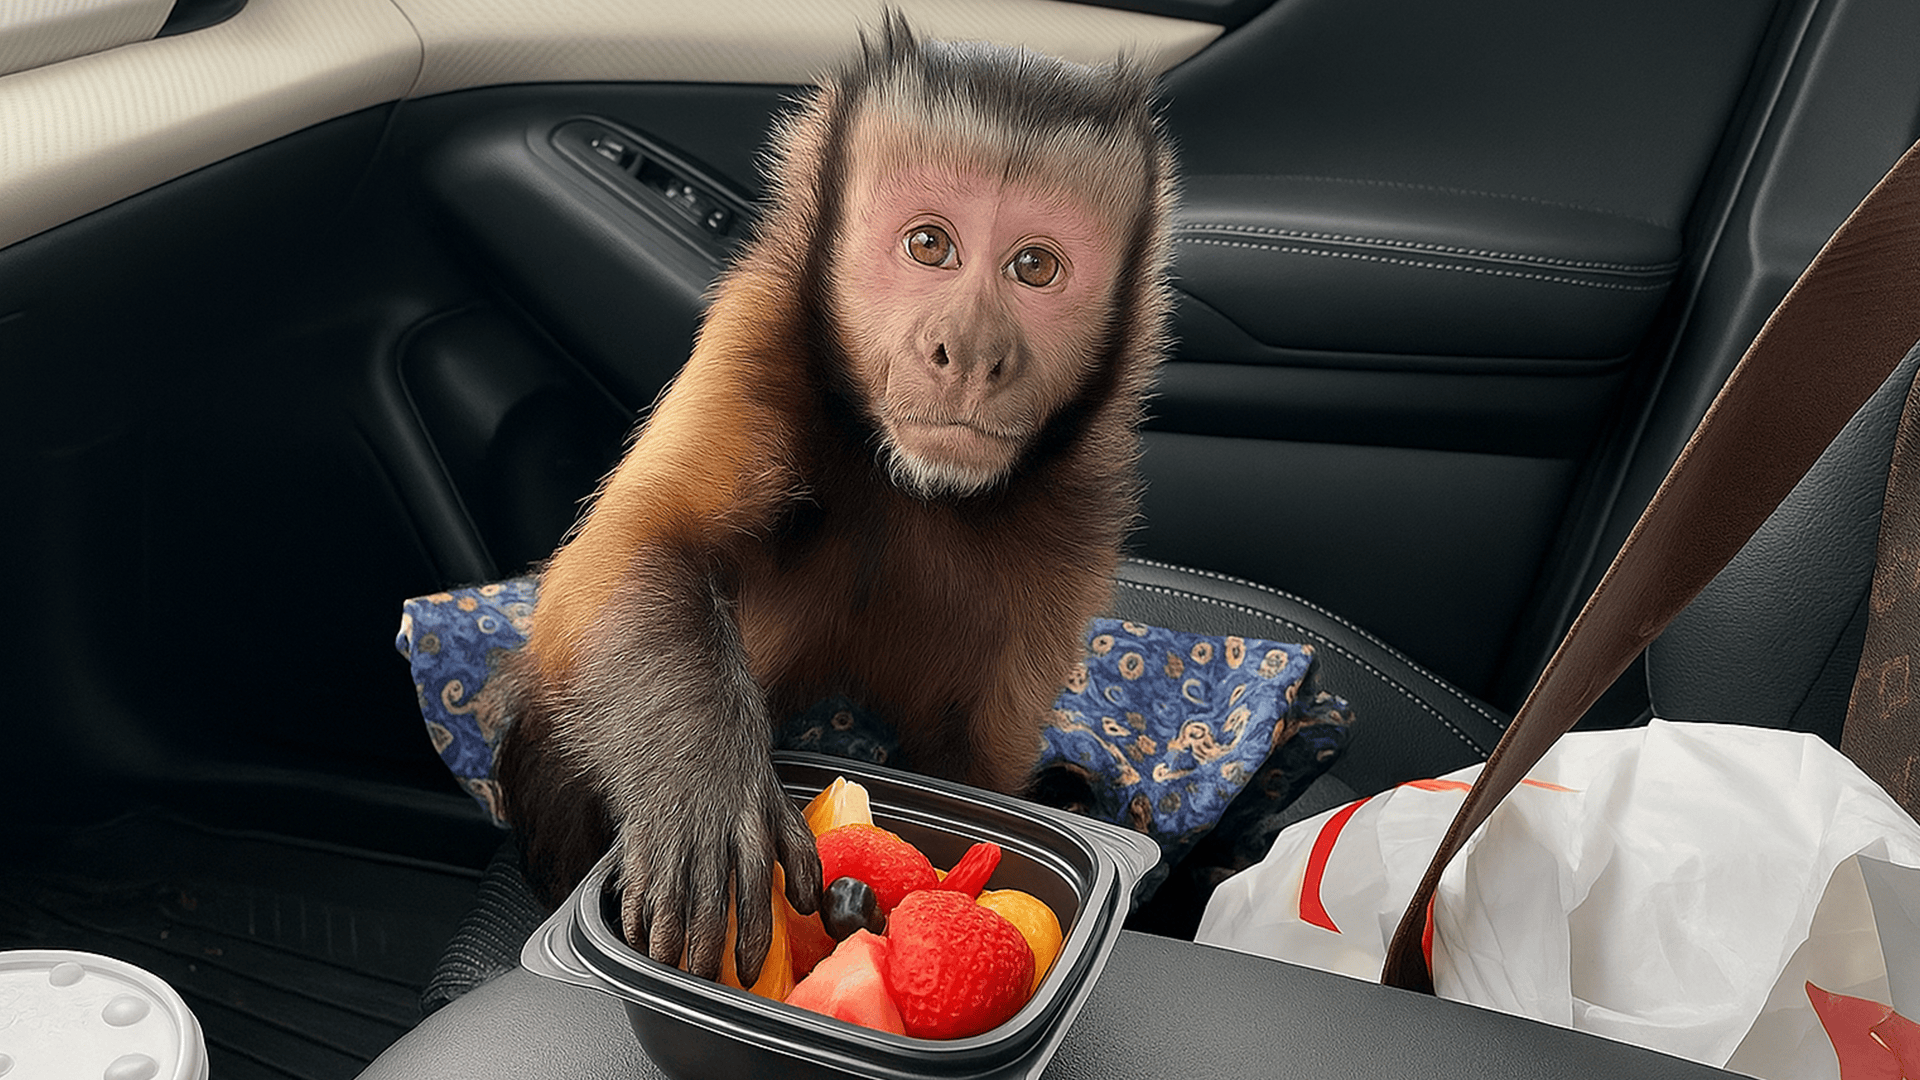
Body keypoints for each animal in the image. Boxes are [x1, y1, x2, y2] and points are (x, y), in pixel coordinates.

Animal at [493, 14, 1177, 988]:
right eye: (929, 245)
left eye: (1035, 267)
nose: (967, 349)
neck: (902, 474)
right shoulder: (755, 338)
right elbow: (634, 548)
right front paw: (706, 788)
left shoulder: (1087, 484)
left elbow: (978, 752)